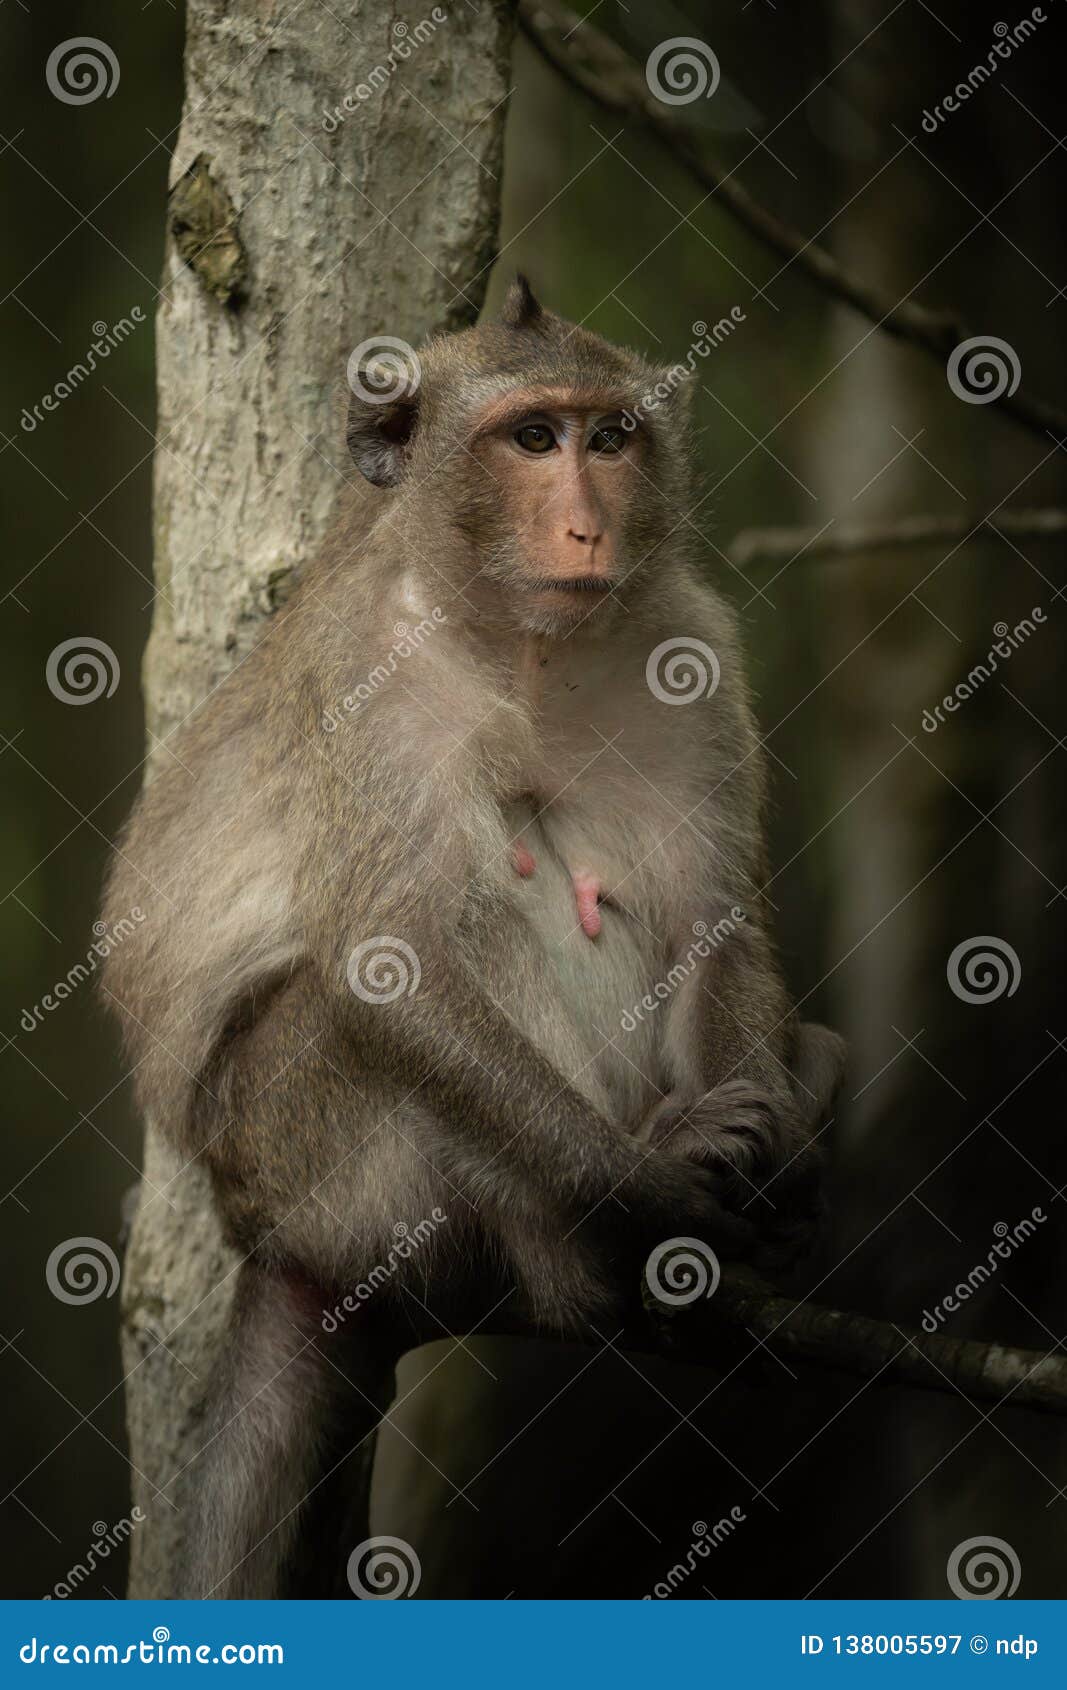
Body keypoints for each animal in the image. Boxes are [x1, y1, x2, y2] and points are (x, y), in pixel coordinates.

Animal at [100, 276, 845, 1598]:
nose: (587, 526)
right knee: (460, 917)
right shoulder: (365, 671)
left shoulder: (692, 644)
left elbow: (715, 928)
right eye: (531, 438)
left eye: (610, 437)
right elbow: (388, 966)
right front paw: (661, 1190)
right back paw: (582, 1262)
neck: (523, 641)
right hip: (301, 1152)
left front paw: (768, 1158)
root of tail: (258, 1236)